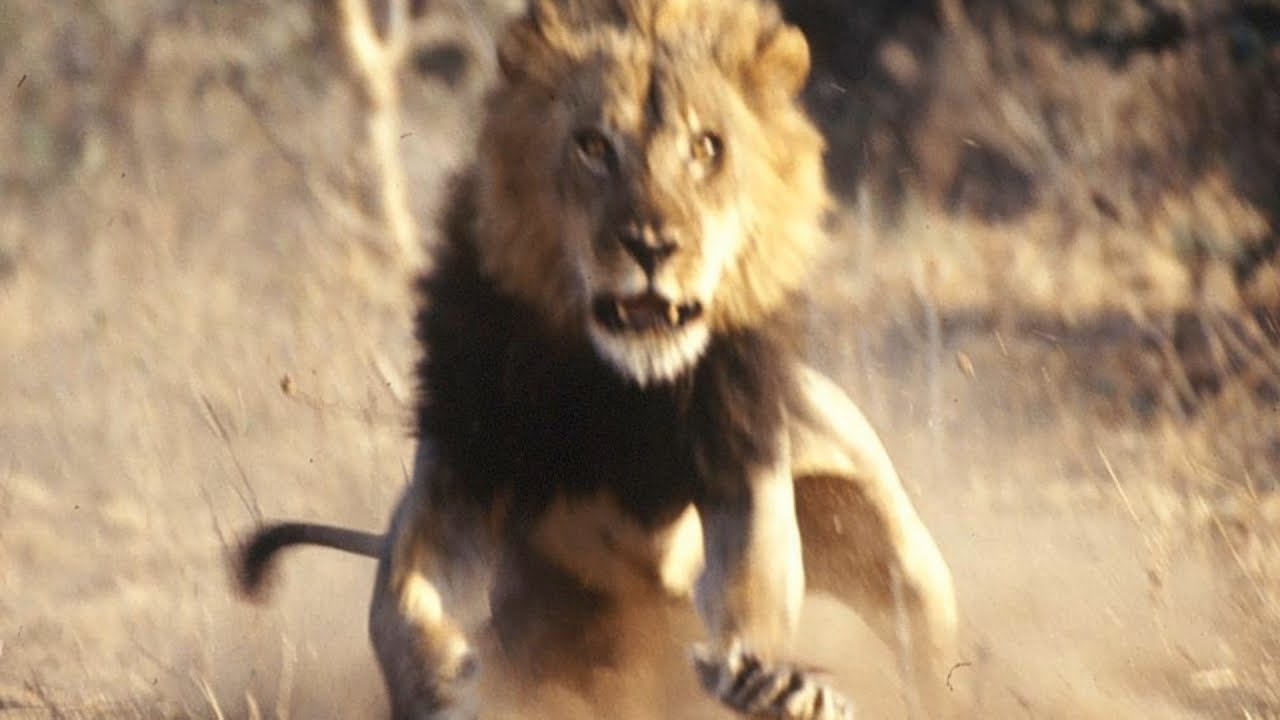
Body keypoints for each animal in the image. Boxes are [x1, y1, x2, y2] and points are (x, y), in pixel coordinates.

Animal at [235, 0, 960, 718]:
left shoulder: (743, 478)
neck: (618, 387)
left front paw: (777, 685)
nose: (652, 245)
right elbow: (401, 602)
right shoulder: (457, 477)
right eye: (593, 146)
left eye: (706, 148)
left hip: (898, 551)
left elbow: (750, 595)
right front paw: (435, 681)